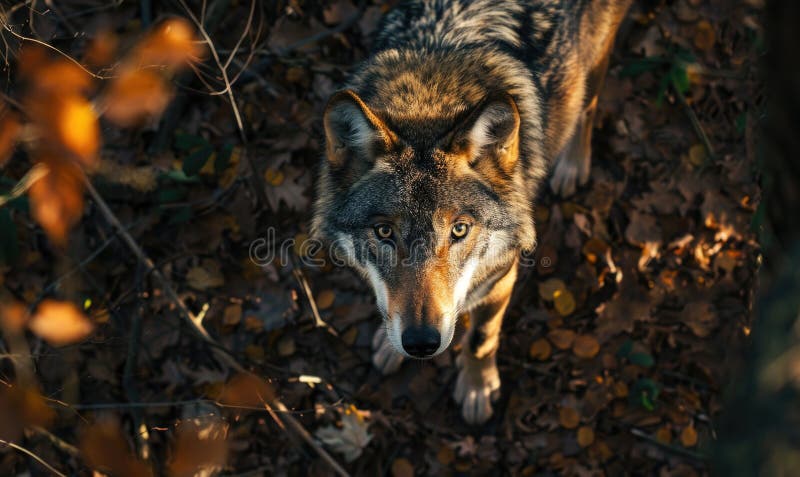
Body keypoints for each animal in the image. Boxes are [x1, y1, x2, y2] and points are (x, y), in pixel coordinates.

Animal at [311, 0, 632, 424]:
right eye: (384, 232)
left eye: (460, 230)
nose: (421, 343)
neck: (432, 94)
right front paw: (388, 344)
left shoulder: (501, 275)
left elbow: (481, 339)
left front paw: (478, 389)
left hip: (592, 58)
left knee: (589, 105)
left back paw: (572, 165)